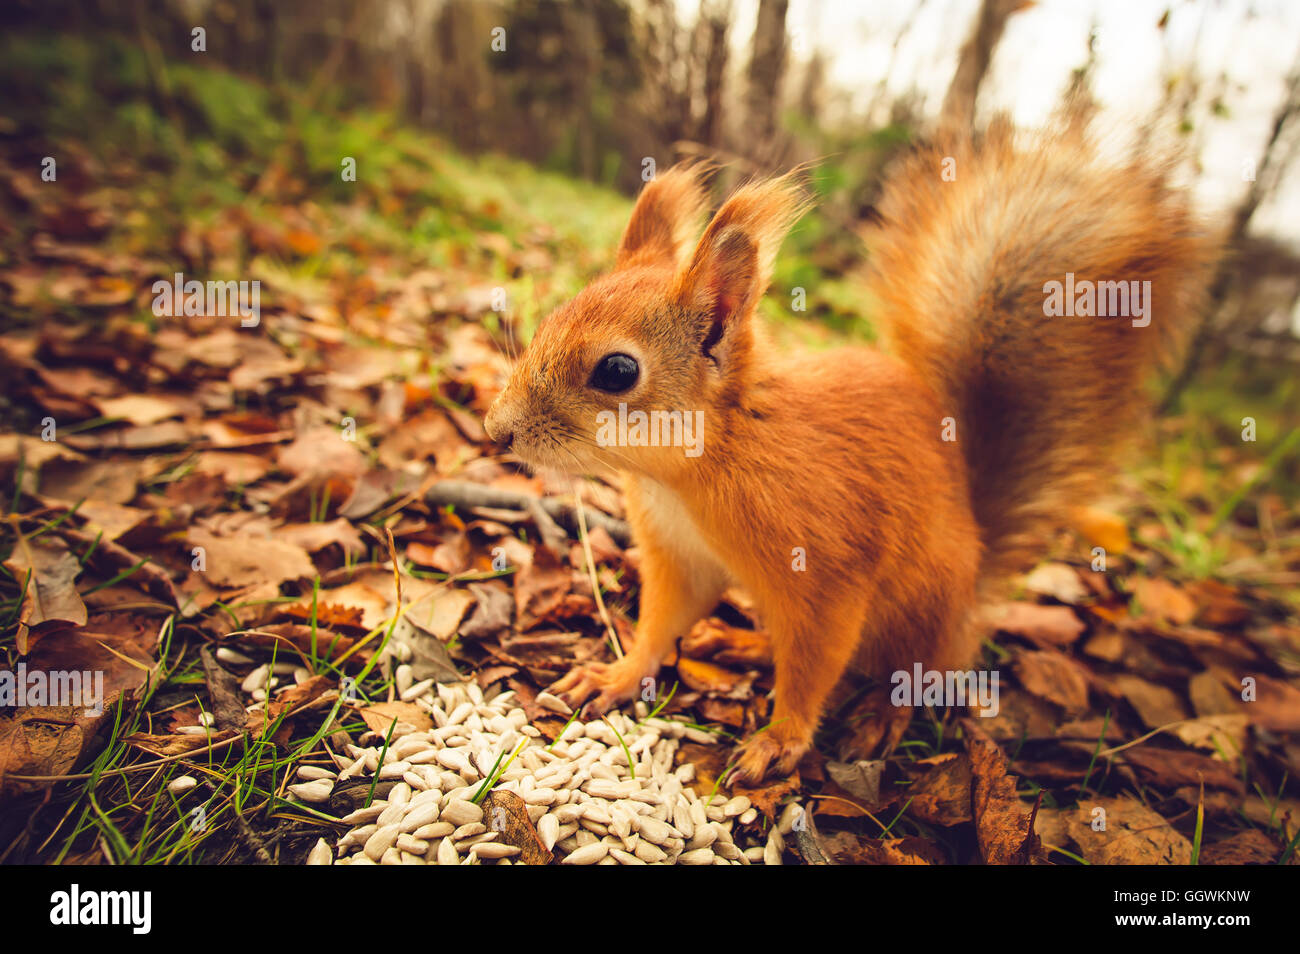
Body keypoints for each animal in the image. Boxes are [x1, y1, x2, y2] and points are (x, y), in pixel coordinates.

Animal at [484, 118, 1220, 782]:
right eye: (554, 315)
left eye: (617, 372)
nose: (496, 430)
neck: (696, 470)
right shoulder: (679, 554)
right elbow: (663, 620)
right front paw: (614, 674)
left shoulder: (829, 573)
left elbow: (814, 663)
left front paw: (780, 740)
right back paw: (740, 642)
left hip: (922, 608)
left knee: (913, 673)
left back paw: (880, 716)